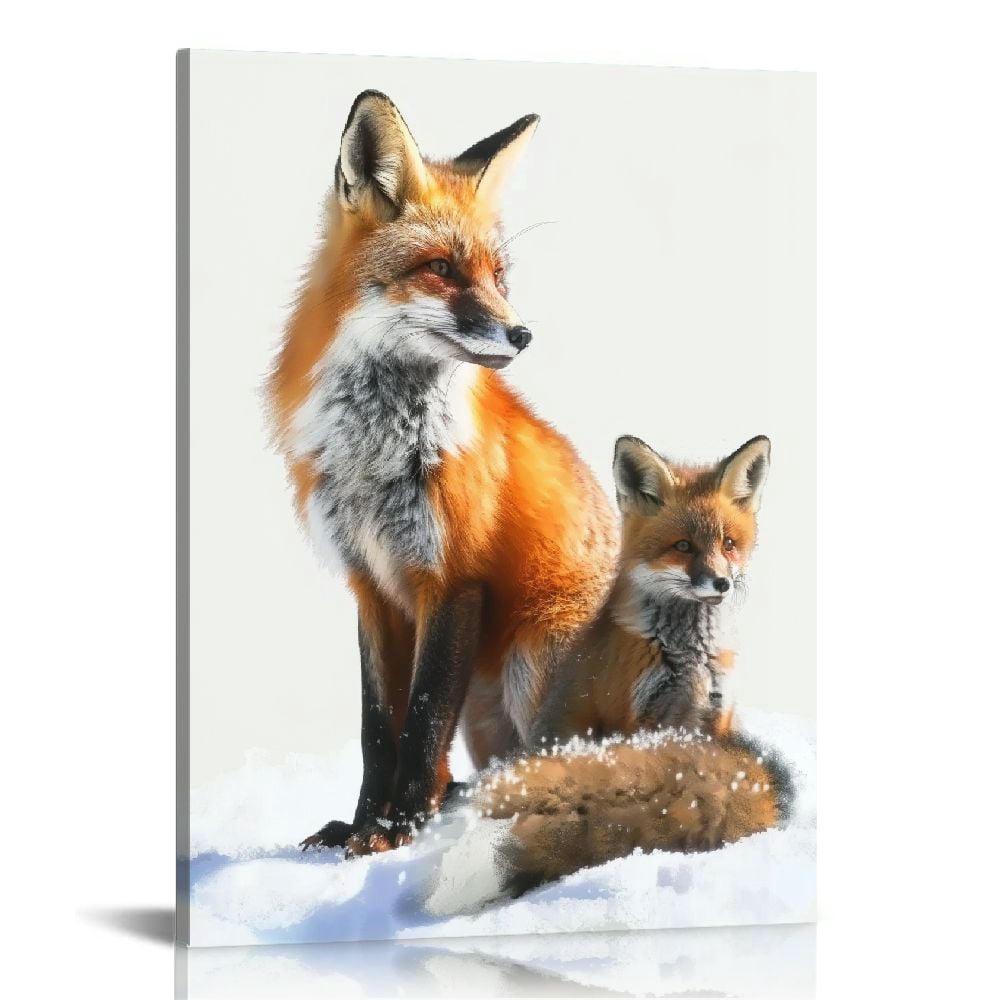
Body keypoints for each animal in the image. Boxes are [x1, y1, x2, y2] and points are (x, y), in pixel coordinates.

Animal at [267, 91, 617, 855]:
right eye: (442, 270)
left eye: (499, 277)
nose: (522, 334)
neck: (376, 456)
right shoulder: (370, 584)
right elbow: (378, 730)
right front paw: (362, 827)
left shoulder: (453, 577)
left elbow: (423, 725)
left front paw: (398, 831)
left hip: (531, 658)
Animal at [470, 434, 794, 894]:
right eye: (683, 546)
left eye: (729, 543)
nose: (721, 583)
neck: (688, 656)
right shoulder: (638, 718)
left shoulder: (716, 717)